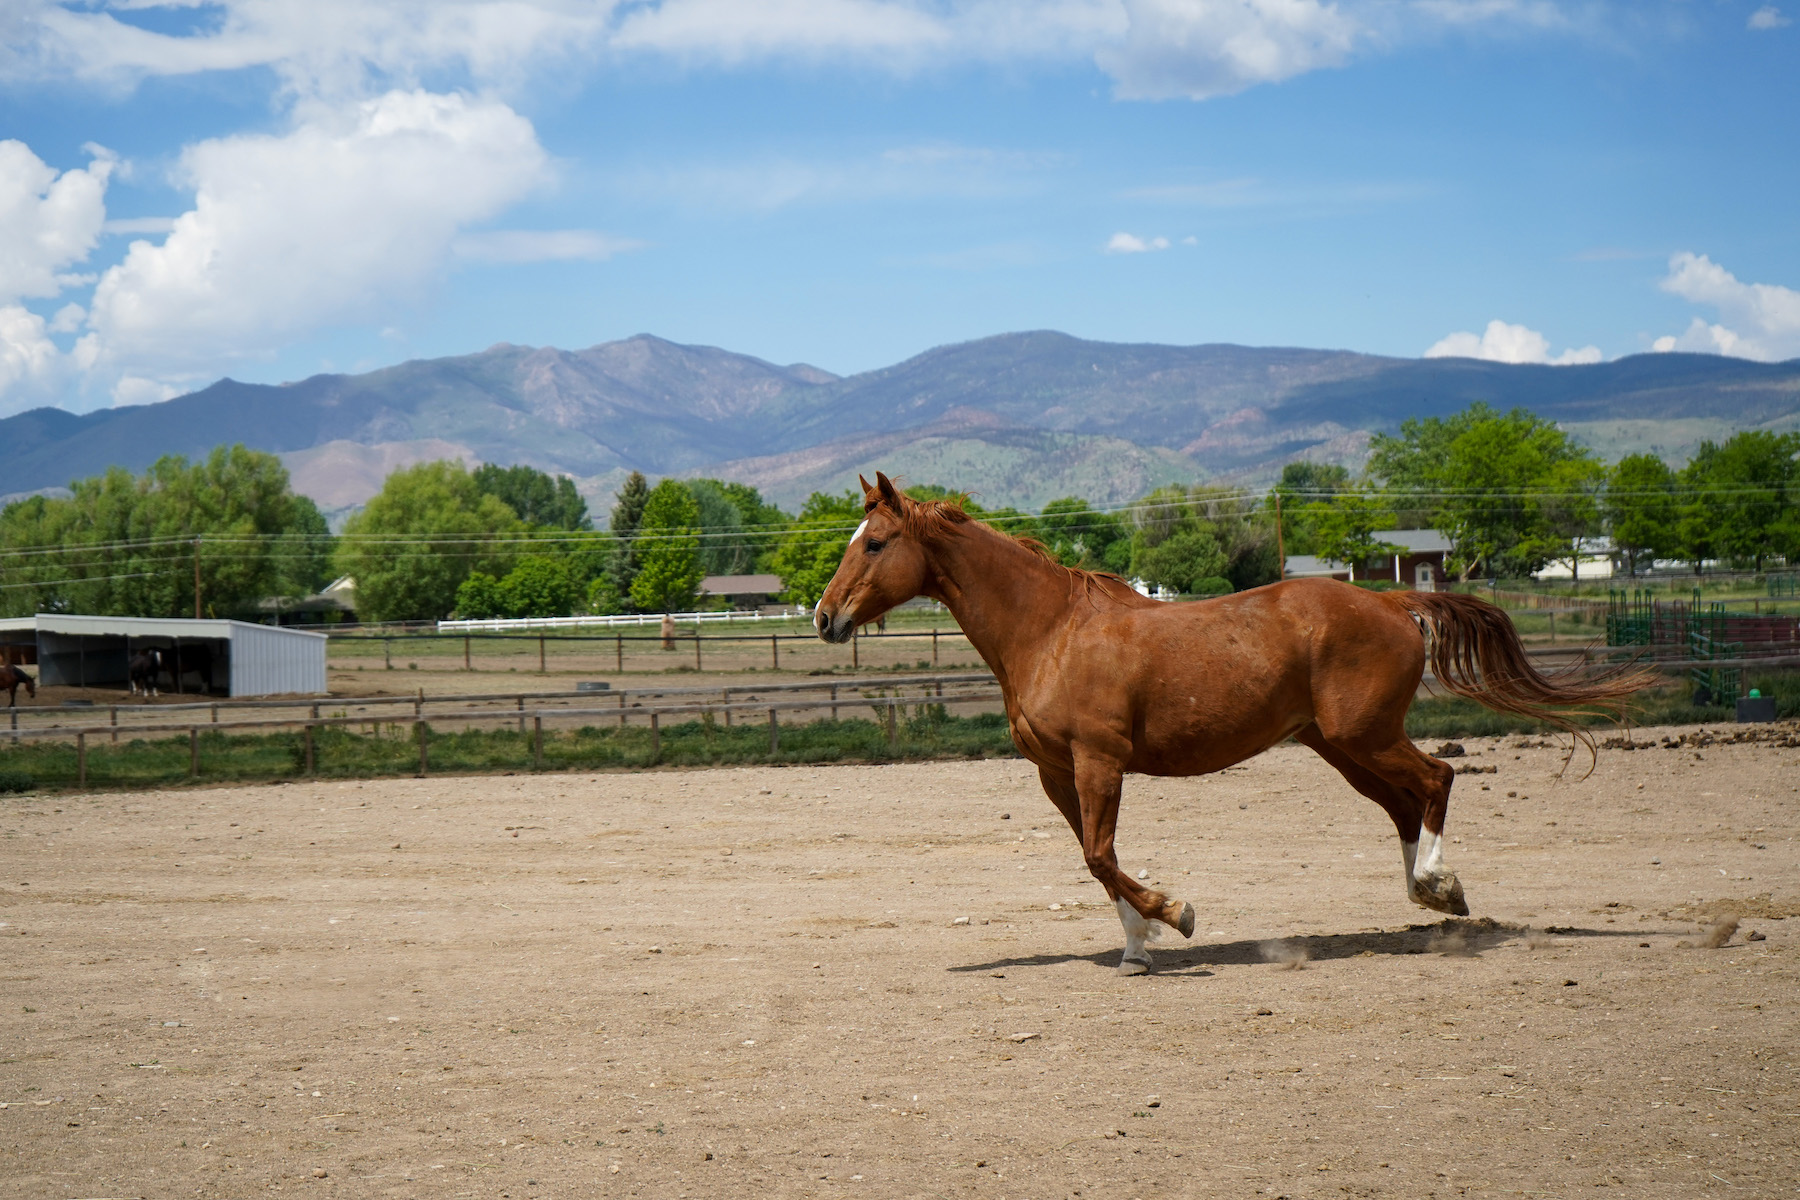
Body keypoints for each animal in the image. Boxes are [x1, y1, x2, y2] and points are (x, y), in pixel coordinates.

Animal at [814, 473, 1650, 975]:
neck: (1049, 631)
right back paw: (1433, 896)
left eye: (876, 543)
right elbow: (1095, 858)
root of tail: (1390, 600)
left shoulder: (1097, 761)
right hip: (1338, 745)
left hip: (1364, 735)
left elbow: (1100, 853)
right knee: (1404, 804)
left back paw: (1437, 883)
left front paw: (1174, 916)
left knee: (1438, 777)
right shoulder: (1057, 773)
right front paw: (1139, 944)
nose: (825, 617)